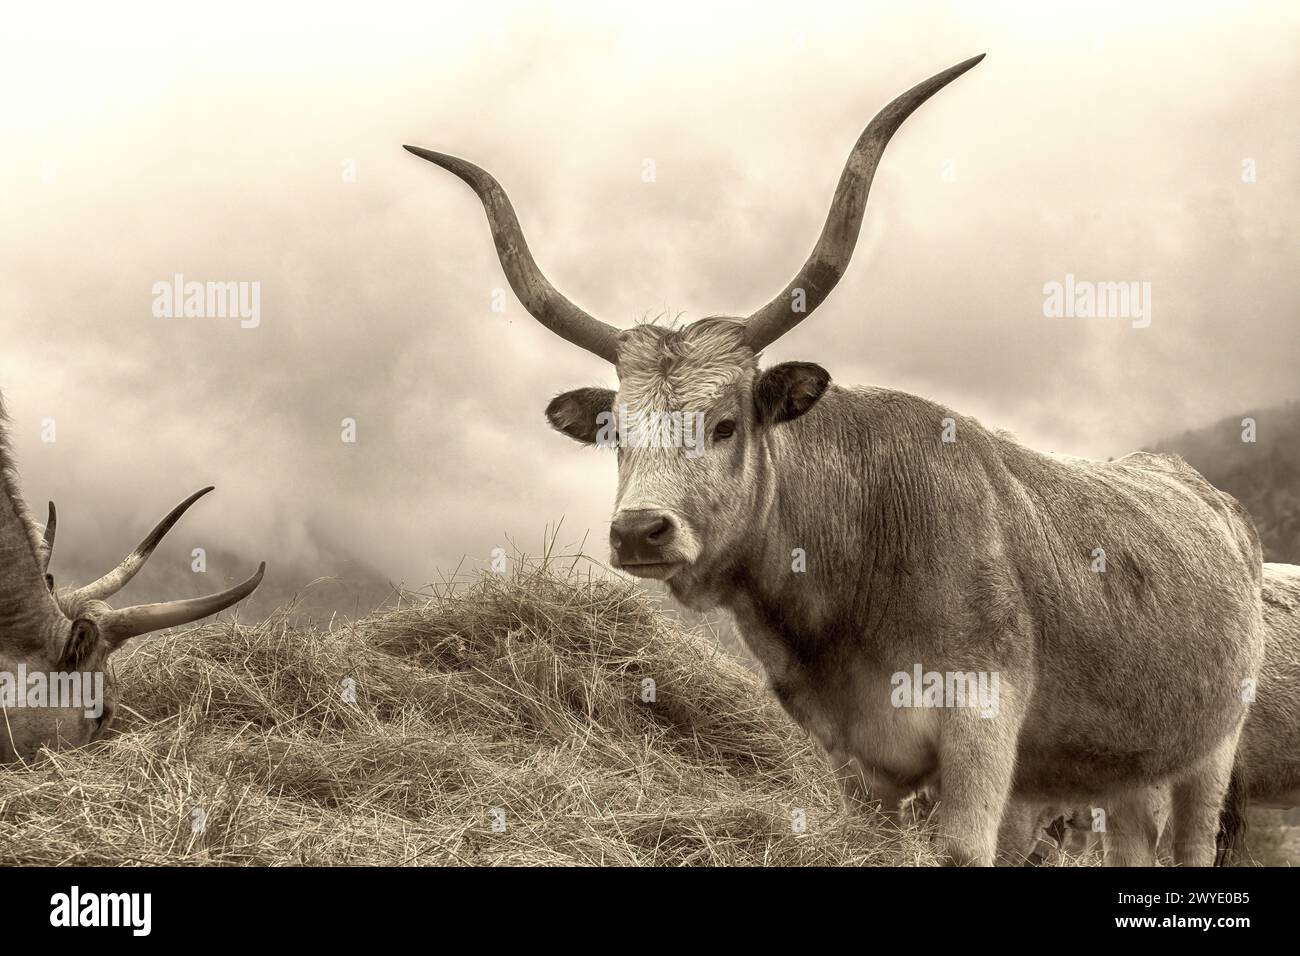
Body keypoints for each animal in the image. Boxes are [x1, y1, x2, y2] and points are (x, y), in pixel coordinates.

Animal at [405, 55, 1265, 865]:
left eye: (725, 424)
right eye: (617, 433)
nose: (640, 531)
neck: (860, 555)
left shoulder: (981, 731)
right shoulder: (856, 761)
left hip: (1211, 751)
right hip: (1127, 767)